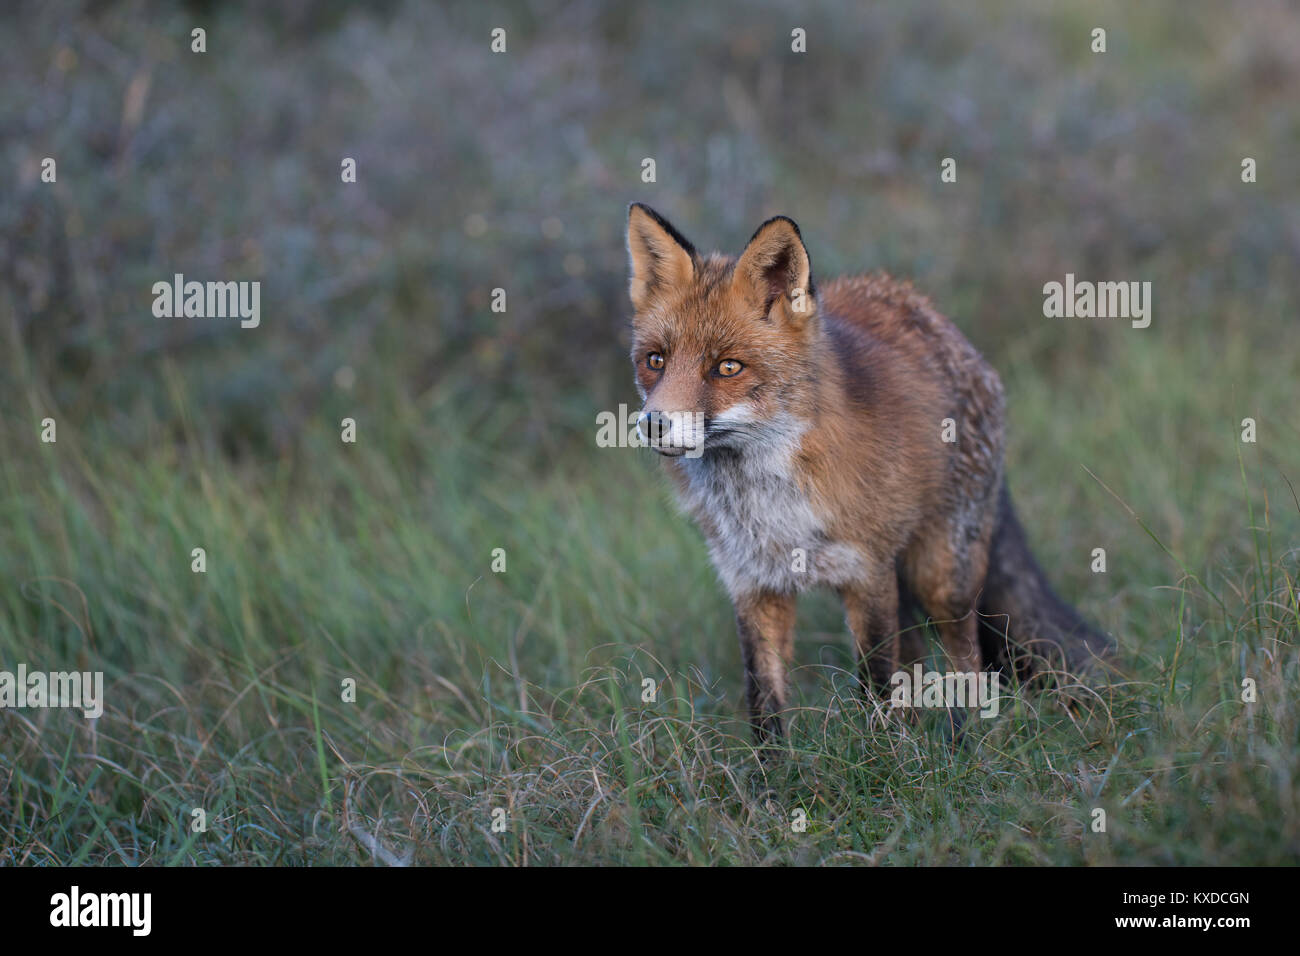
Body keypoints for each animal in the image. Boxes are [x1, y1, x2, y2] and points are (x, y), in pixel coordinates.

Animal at [625, 202, 1114, 747]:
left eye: (728, 367)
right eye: (655, 361)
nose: (652, 423)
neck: (769, 503)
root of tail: (931, 312)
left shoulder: (867, 573)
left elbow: (876, 685)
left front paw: (882, 758)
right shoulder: (752, 584)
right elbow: (765, 704)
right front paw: (772, 773)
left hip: (940, 574)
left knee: (966, 655)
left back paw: (965, 739)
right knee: (918, 657)